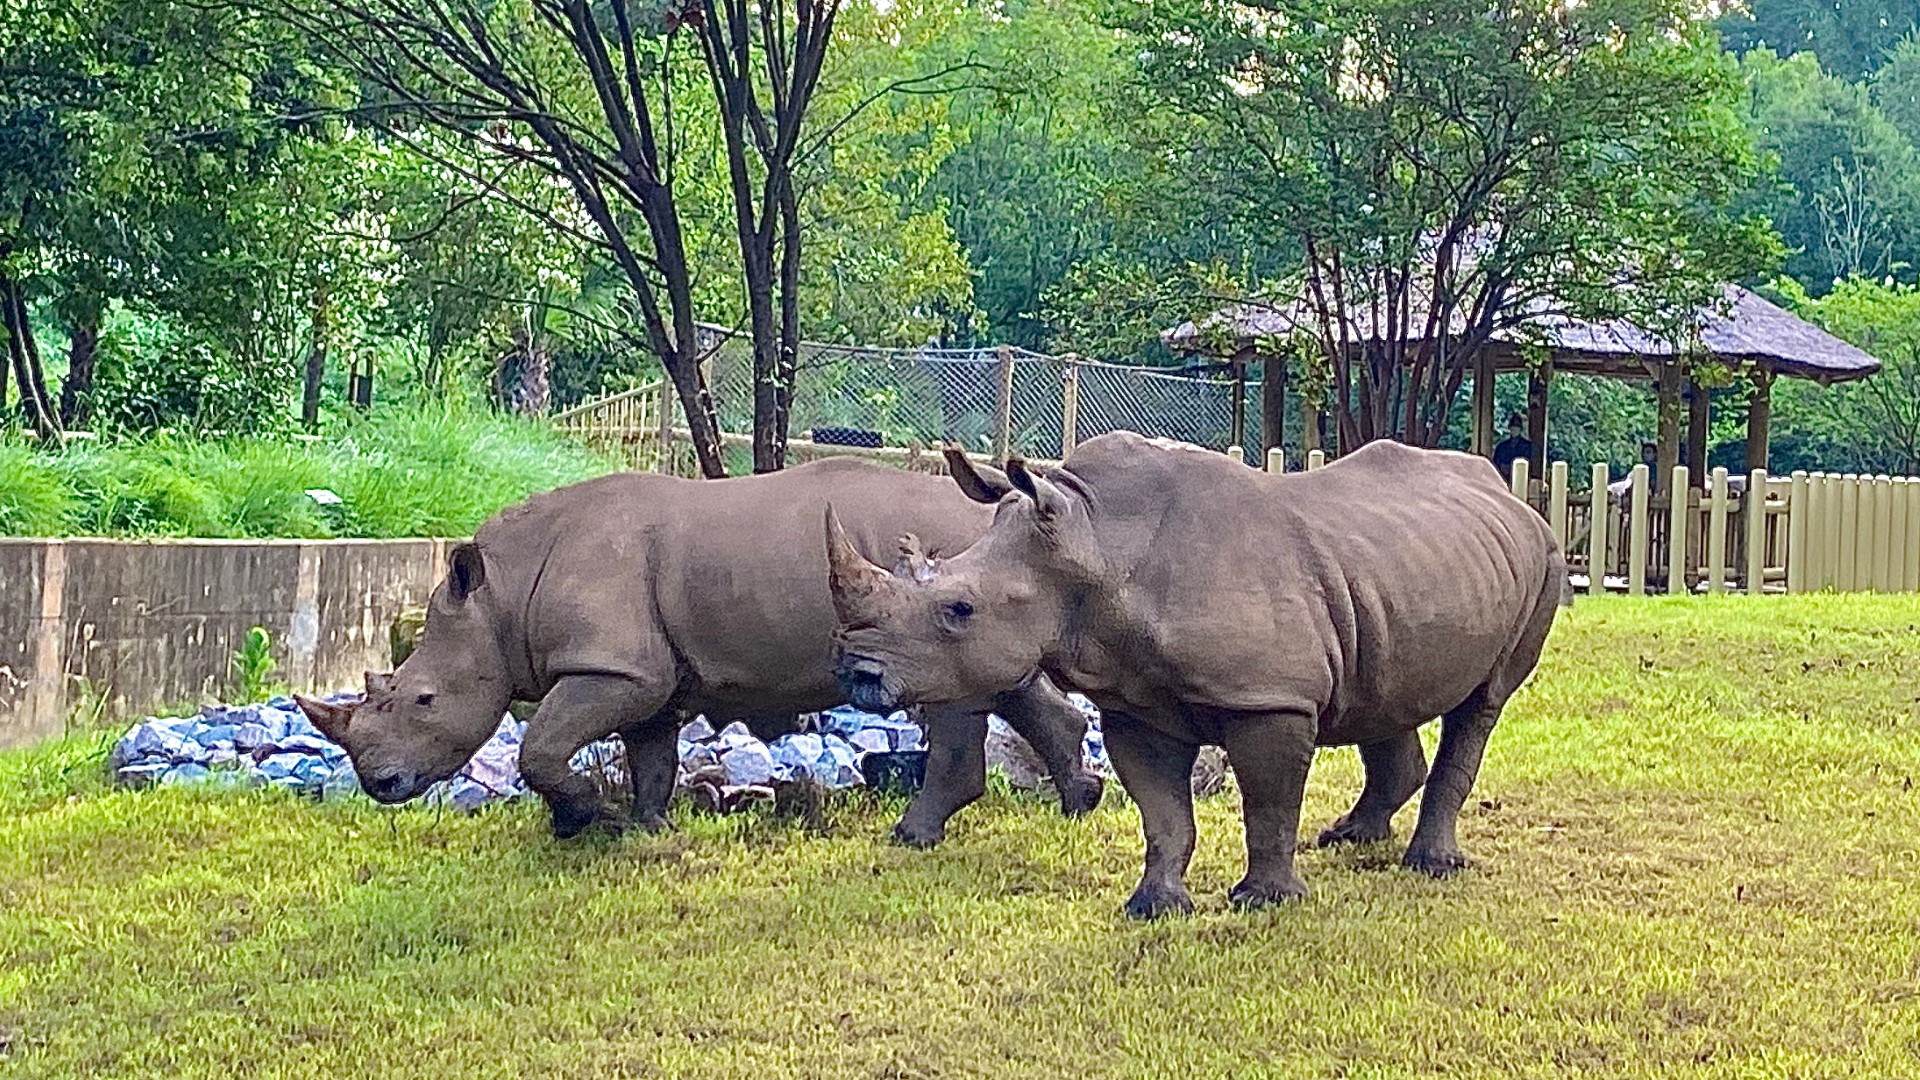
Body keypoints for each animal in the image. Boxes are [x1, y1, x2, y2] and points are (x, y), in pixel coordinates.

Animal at [296, 458, 1104, 844]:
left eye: (423, 698)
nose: (380, 786)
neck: (500, 595)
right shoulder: (647, 672)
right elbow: (650, 753)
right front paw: (644, 828)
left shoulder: (612, 666)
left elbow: (541, 747)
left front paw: (584, 821)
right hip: (979, 594)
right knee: (1009, 682)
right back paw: (1078, 804)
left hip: (944, 598)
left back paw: (909, 838)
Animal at [825, 432, 1565, 918]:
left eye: (960, 609)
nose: (859, 676)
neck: (1096, 540)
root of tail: (1508, 495)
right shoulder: (1134, 702)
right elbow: (1163, 812)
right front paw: (1154, 907)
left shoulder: (1269, 697)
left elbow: (1268, 804)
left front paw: (1265, 904)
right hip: (1398, 568)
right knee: (1382, 690)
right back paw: (1351, 837)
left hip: (1545, 561)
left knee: (1482, 704)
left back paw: (1430, 866)